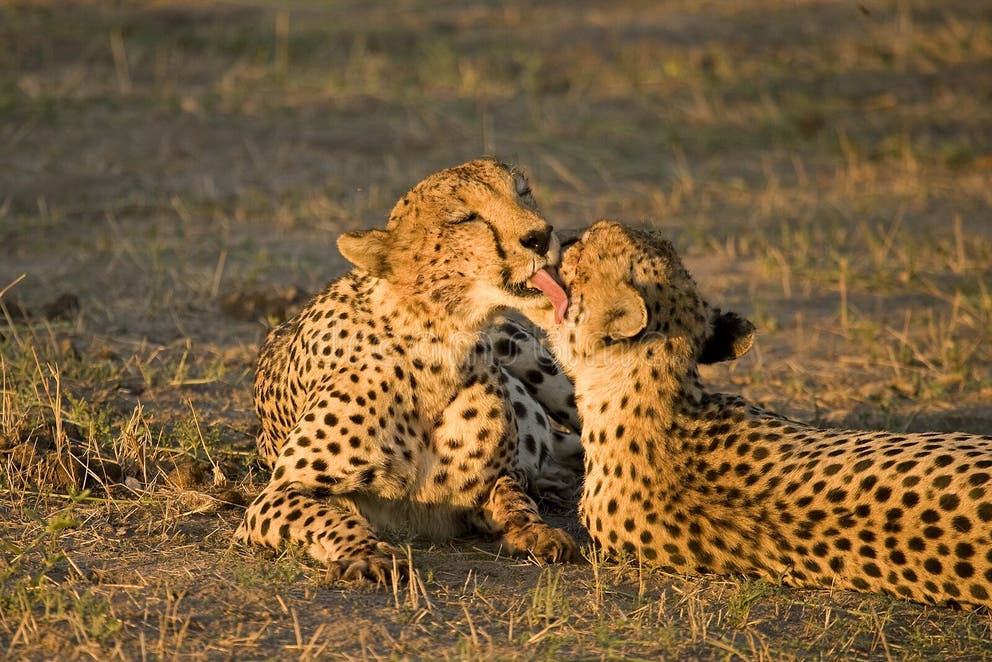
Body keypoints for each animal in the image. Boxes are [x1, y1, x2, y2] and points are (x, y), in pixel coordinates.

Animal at [235, 158, 583, 583]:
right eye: (465, 218)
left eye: (522, 192)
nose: (541, 236)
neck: (438, 344)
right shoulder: (279, 492)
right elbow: (329, 517)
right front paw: (368, 553)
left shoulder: (496, 479)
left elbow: (514, 496)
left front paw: (536, 530)